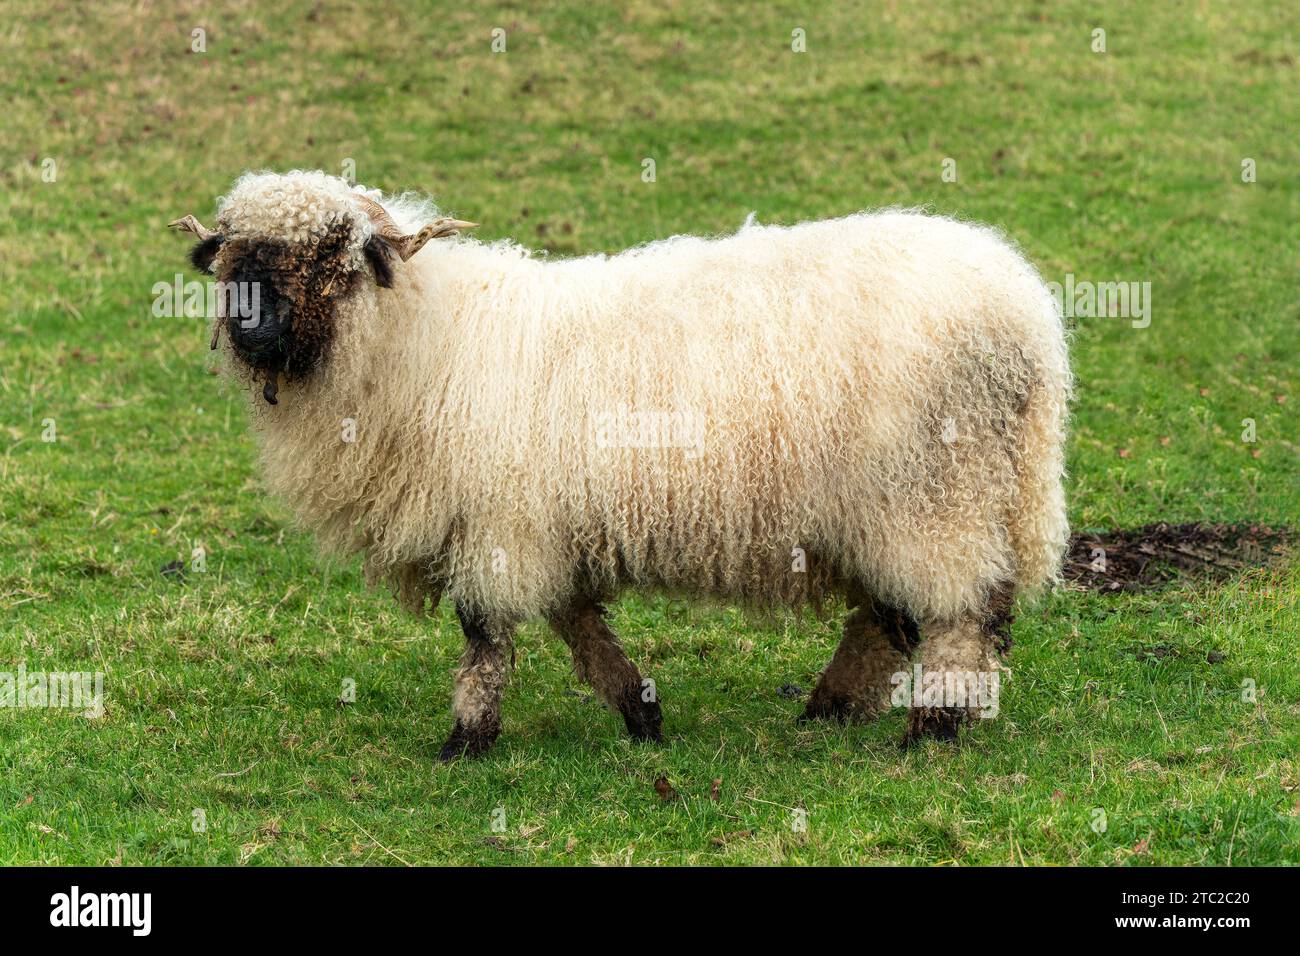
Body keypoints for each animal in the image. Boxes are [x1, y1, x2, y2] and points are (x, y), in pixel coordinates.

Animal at [170, 169, 1071, 758]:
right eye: (231, 255)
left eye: (331, 254)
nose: (249, 323)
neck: (422, 342)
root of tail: (1027, 315)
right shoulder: (541, 523)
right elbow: (576, 624)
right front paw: (640, 712)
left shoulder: (500, 522)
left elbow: (486, 635)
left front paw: (467, 739)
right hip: (908, 501)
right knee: (895, 615)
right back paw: (833, 707)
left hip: (931, 491)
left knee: (957, 610)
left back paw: (935, 726)